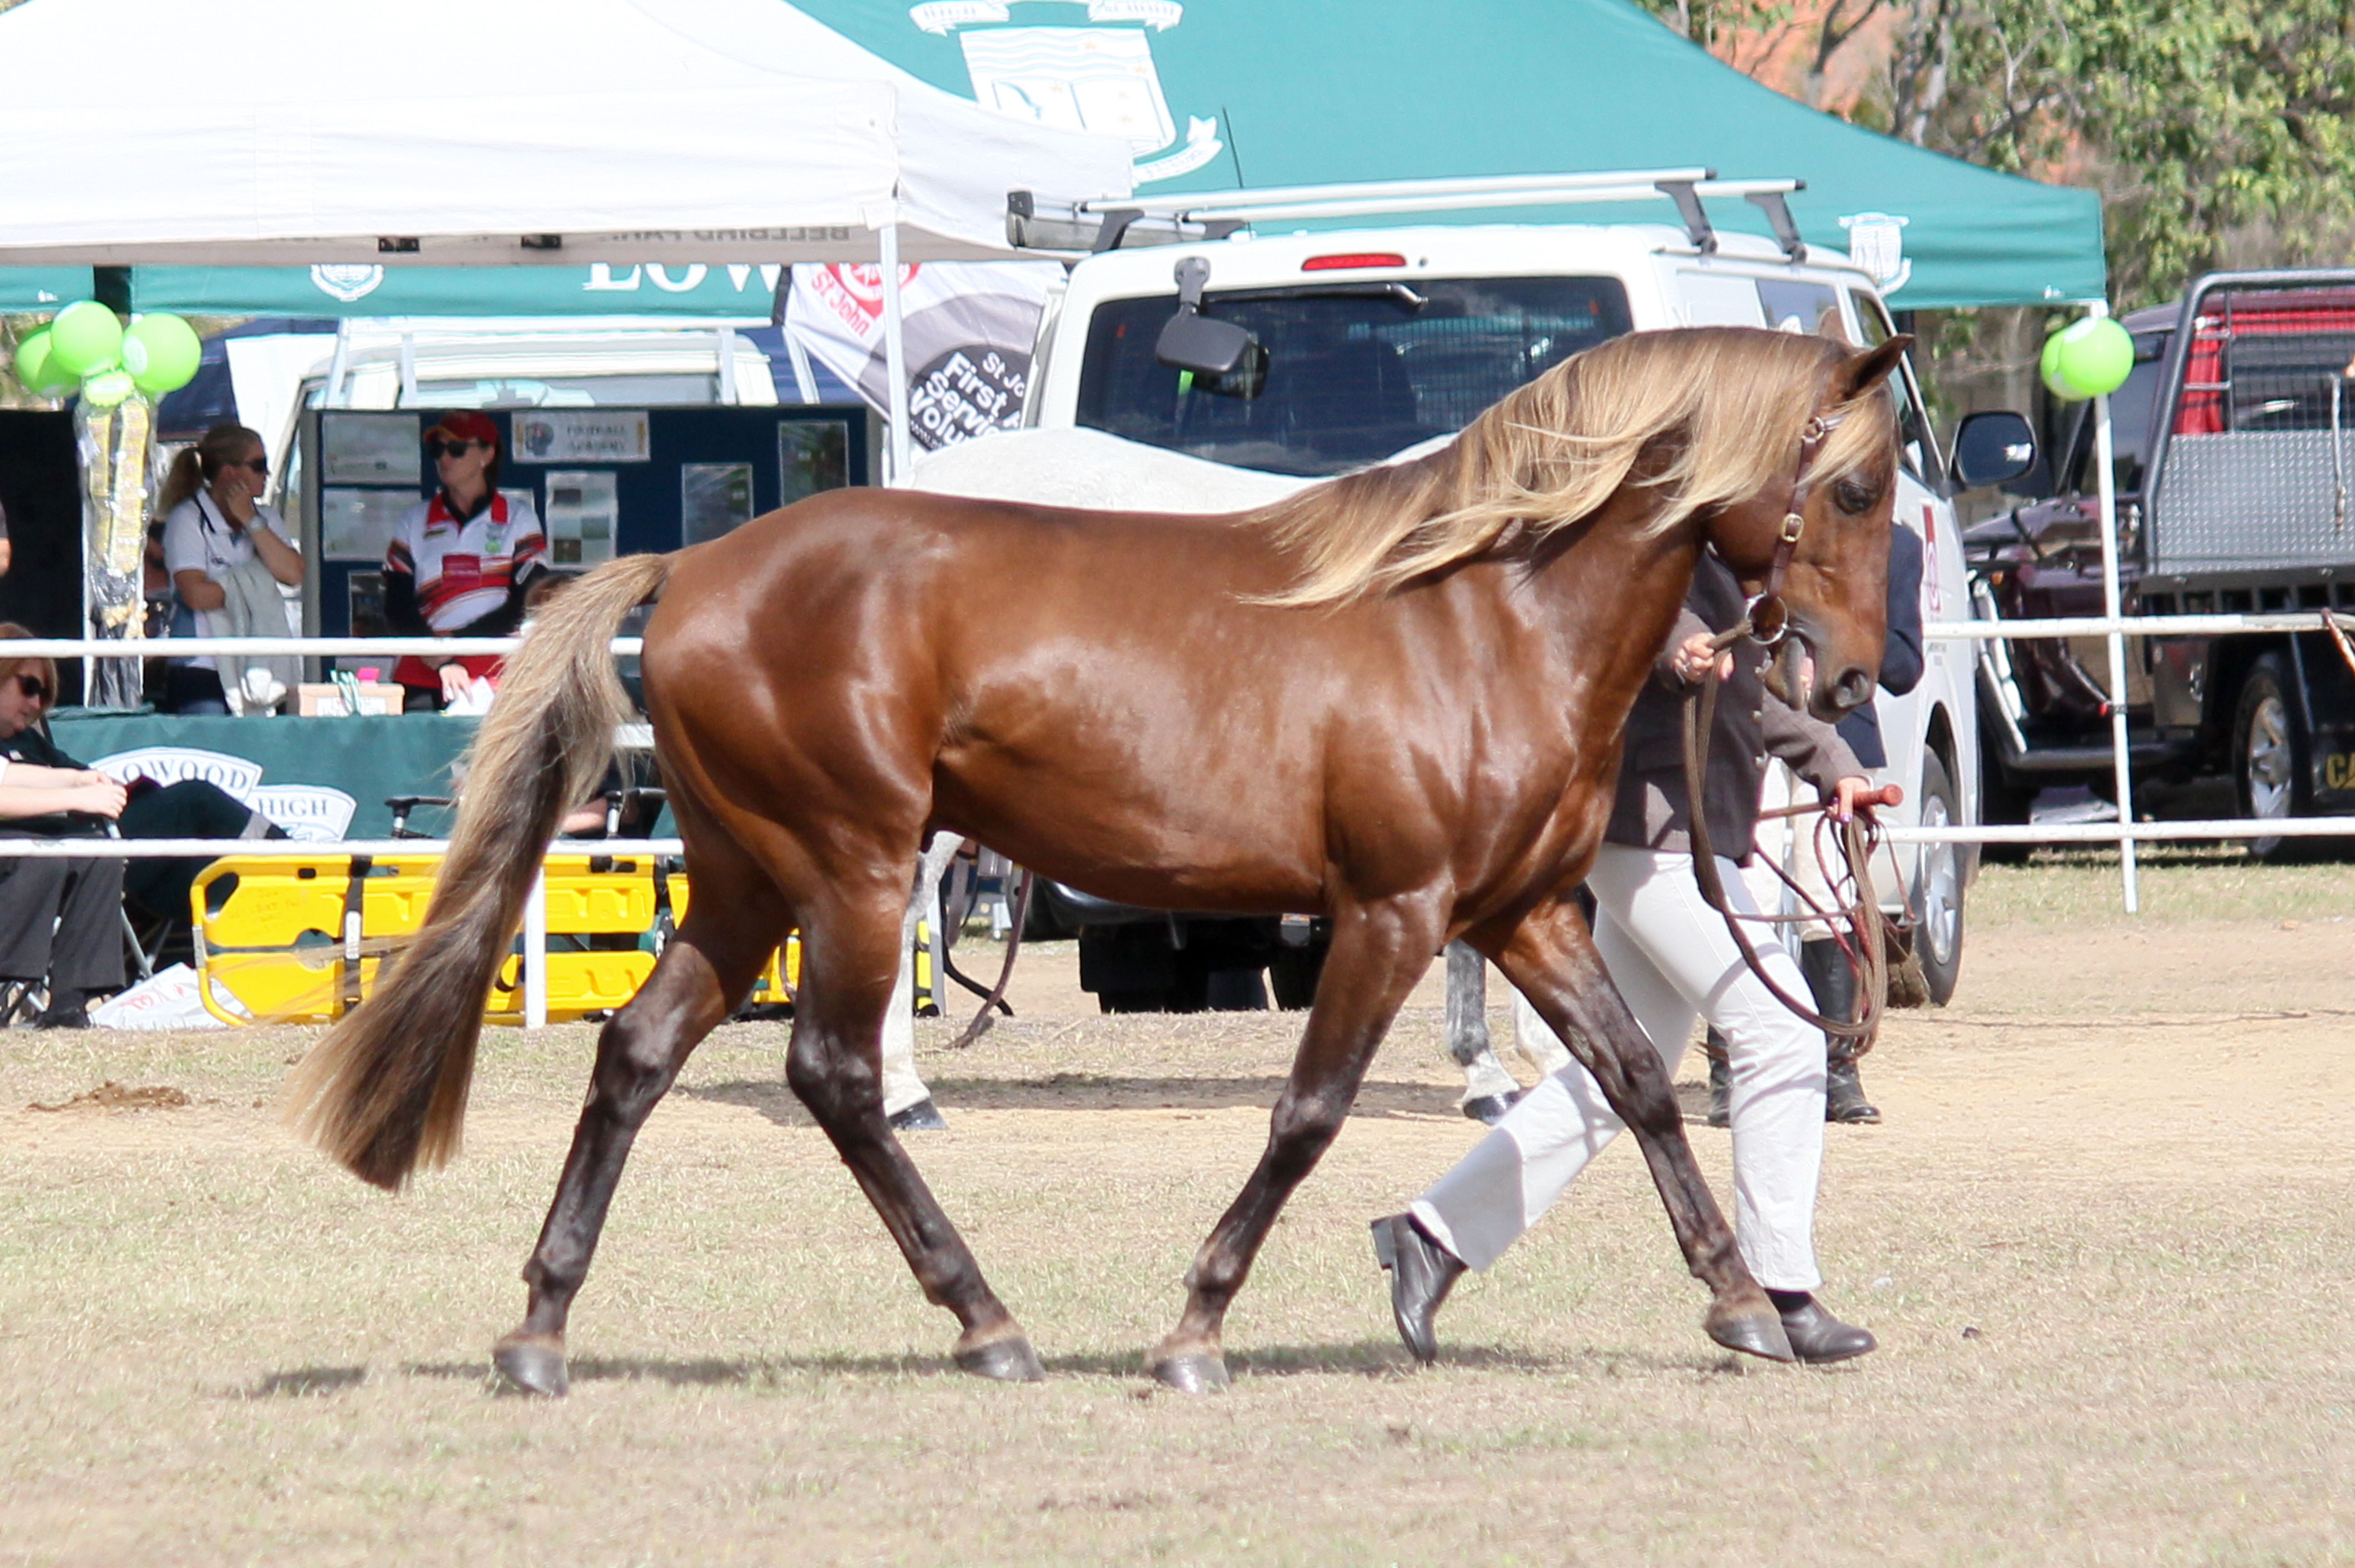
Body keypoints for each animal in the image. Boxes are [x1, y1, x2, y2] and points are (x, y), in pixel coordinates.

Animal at [286, 325, 1907, 1396]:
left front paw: (1752, 1305)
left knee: (634, 1051)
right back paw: (985, 1318)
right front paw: (1193, 1331)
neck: (1480, 612)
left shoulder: (1517, 914)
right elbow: (1308, 1112)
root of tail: (695, 565)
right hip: (850, 870)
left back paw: (540, 1332)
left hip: (747, 882)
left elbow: (1634, 1079)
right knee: (838, 1076)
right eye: (1854, 489)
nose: (1843, 680)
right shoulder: (1392, 913)